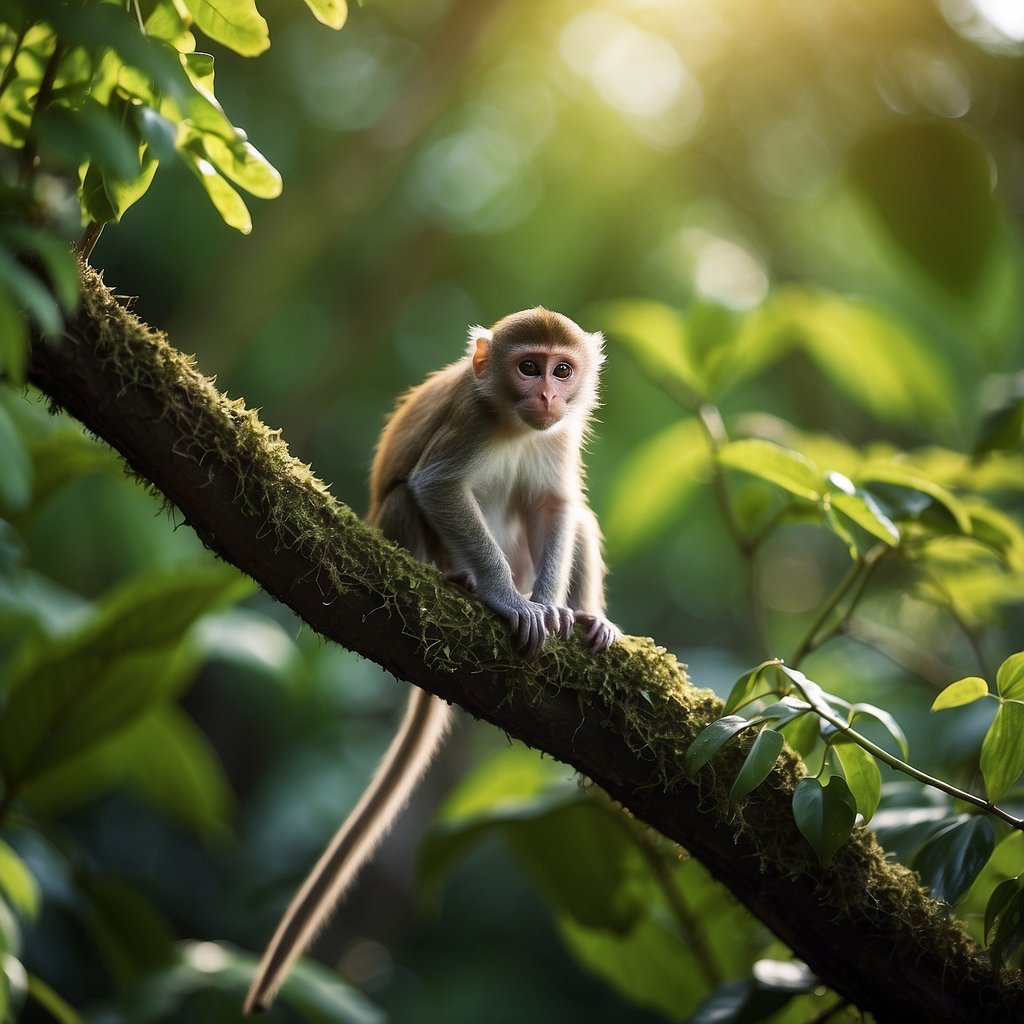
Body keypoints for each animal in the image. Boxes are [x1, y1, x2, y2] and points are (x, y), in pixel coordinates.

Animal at [244, 307, 618, 1013]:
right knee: (403, 497)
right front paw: (509, 600)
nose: (548, 397)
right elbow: (436, 486)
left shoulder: (560, 438)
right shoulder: (469, 422)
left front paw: (553, 610)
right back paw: (455, 581)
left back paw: (588, 619)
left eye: (563, 369)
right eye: (529, 366)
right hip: (399, 530)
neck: (511, 421)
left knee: (575, 513)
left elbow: (559, 507)